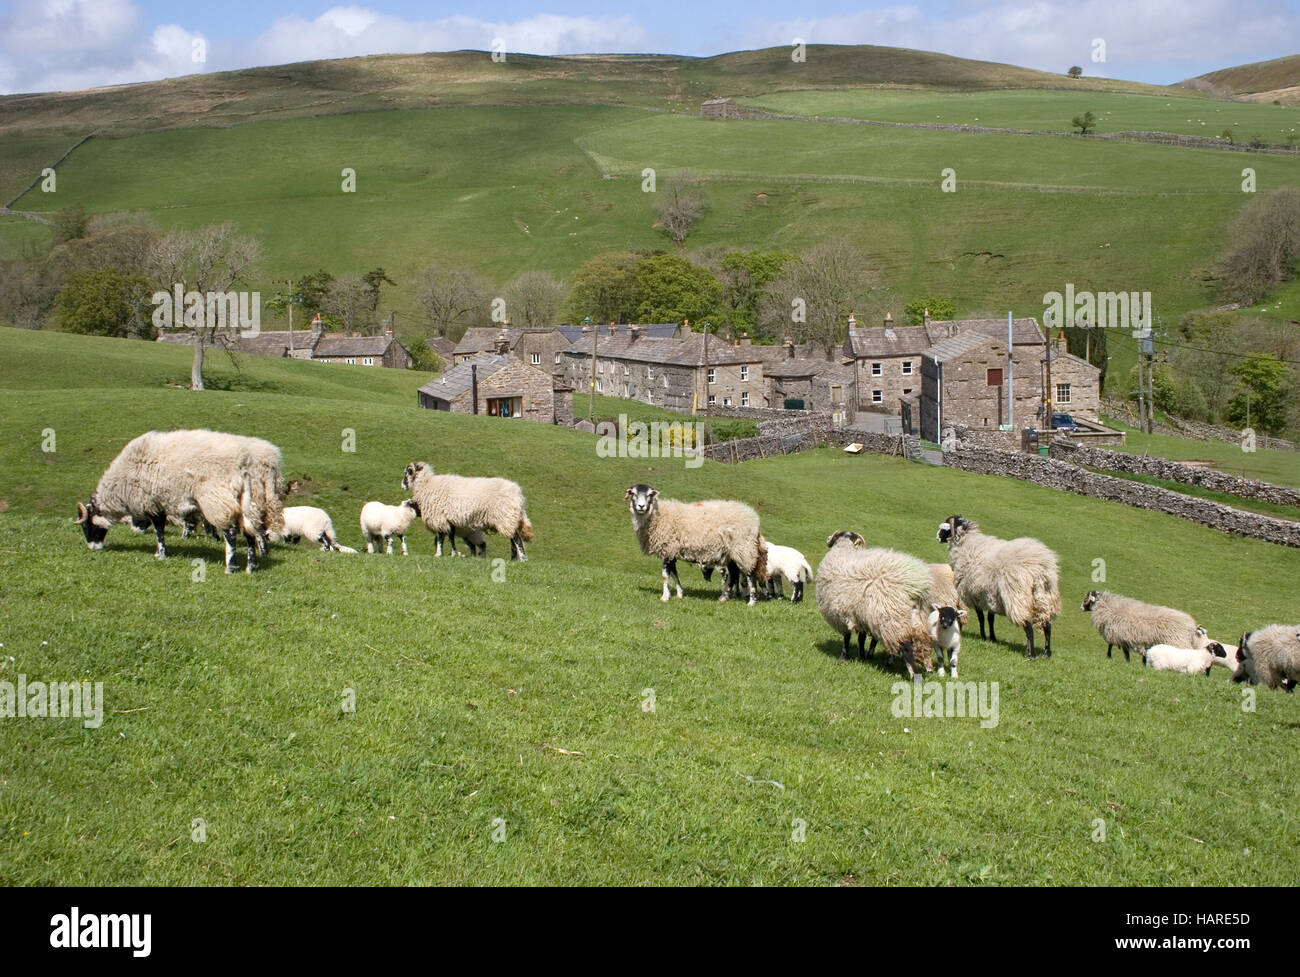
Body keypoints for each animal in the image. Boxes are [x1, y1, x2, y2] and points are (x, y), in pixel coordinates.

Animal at [74, 429, 284, 573]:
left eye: (86, 525)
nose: (92, 547)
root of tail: (245, 460)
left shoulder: (152, 503)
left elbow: (159, 530)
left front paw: (161, 554)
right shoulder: (160, 503)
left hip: (217, 498)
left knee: (231, 531)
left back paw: (231, 567)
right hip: (249, 500)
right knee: (251, 530)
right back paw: (252, 566)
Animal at [402, 462, 533, 561]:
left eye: (407, 472)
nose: (402, 486)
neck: (426, 484)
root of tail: (518, 493)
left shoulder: (439, 517)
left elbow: (440, 538)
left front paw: (439, 554)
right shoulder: (447, 520)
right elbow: (449, 538)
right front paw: (450, 554)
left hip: (505, 517)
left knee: (516, 538)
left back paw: (523, 559)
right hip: (509, 518)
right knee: (512, 539)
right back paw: (513, 559)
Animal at [625, 484, 766, 605]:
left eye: (650, 494)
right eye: (633, 493)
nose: (641, 506)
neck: (657, 517)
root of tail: (753, 516)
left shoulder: (667, 549)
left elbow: (665, 575)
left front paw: (665, 596)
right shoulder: (672, 552)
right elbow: (674, 574)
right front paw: (680, 594)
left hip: (744, 548)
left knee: (750, 574)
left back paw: (752, 601)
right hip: (732, 552)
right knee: (733, 574)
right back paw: (724, 597)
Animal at [816, 531, 933, 678]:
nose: (827, 539)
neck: (844, 547)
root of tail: (915, 586)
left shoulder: (841, 615)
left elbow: (846, 638)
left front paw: (844, 657)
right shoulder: (860, 615)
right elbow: (861, 638)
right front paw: (862, 657)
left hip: (893, 618)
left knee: (906, 647)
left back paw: (914, 676)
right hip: (916, 619)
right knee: (923, 642)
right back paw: (927, 667)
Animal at [936, 515, 1060, 659]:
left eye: (944, 528)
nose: (937, 537)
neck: (966, 543)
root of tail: (1040, 567)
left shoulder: (974, 594)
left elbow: (981, 618)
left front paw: (984, 636)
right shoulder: (990, 595)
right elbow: (991, 619)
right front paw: (992, 638)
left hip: (1017, 595)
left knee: (1028, 626)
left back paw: (1031, 655)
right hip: (1045, 596)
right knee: (1047, 625)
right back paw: (1046, 653)